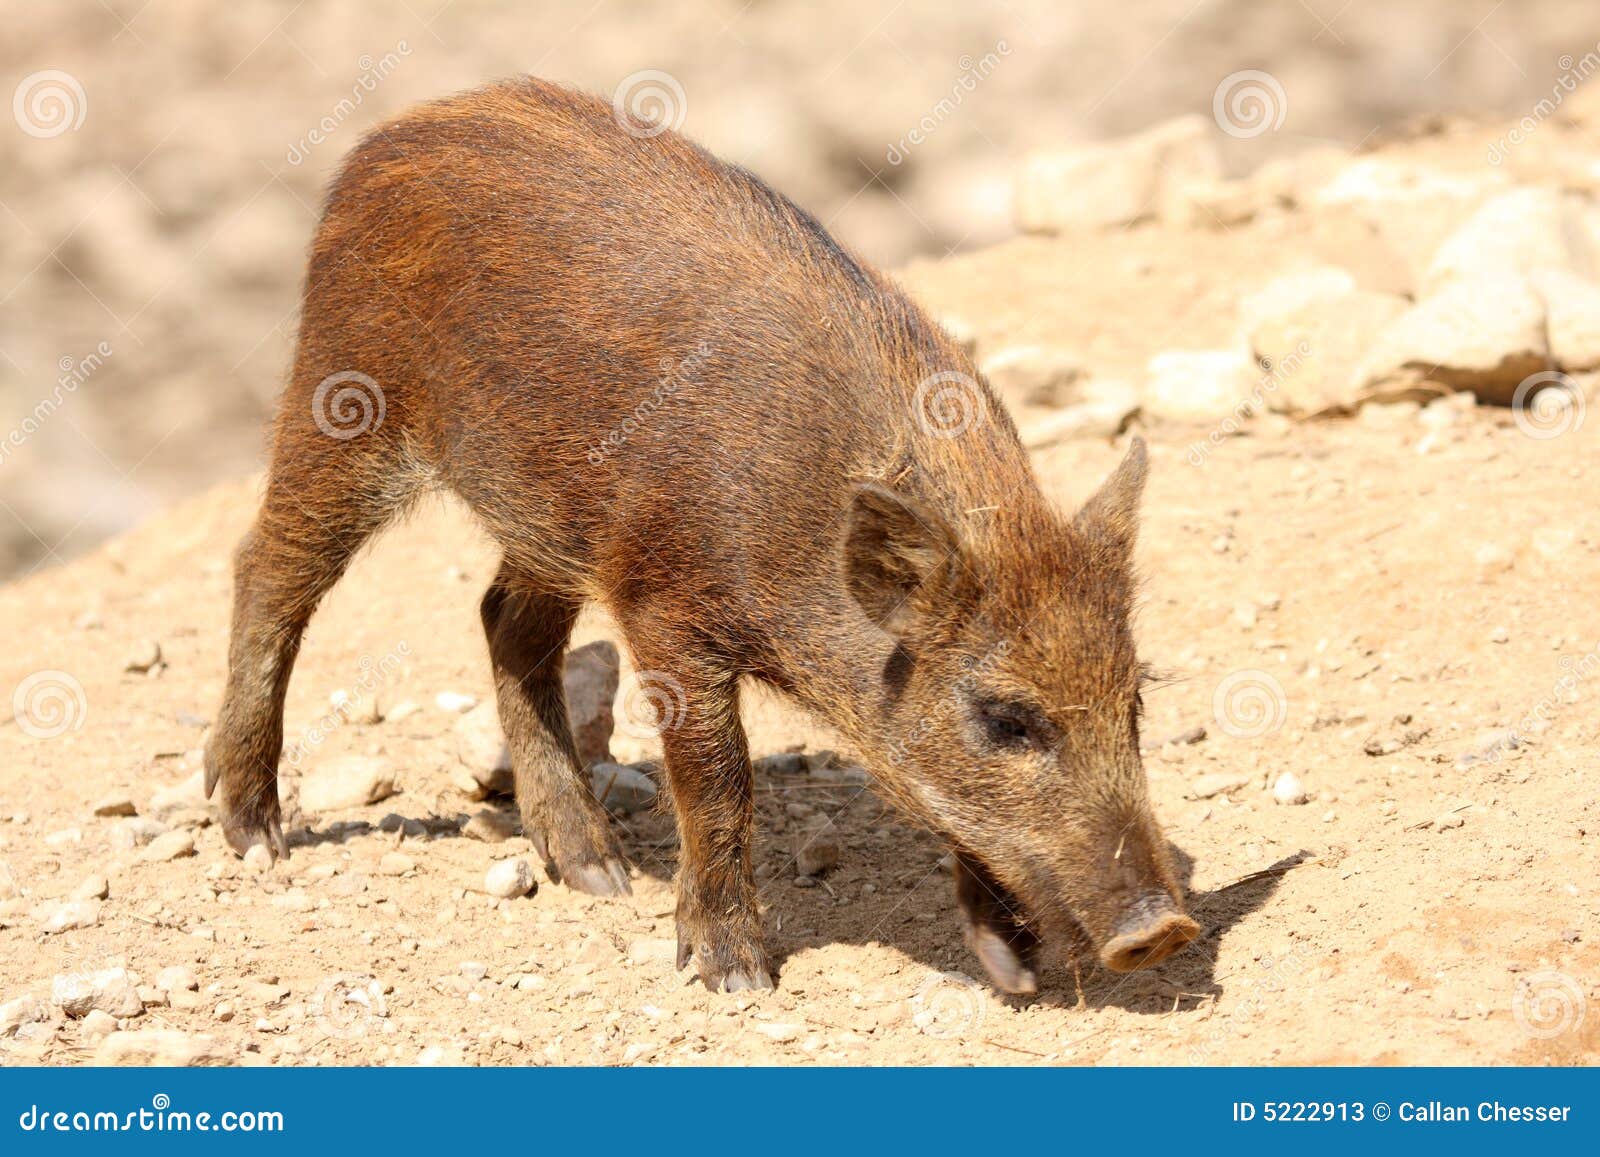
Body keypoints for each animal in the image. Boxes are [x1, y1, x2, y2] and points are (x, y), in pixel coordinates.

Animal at [204, 78, 1199, 994]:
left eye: (1135, 702)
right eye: (1005, 717)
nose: (1163, 930)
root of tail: (406, 125)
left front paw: (1011, 972)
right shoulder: (666, 605)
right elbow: (721, 779)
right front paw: (734, 975)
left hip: (550, 514)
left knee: (504, 621)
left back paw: (597, 874)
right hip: (345, 399)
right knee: (269, 567)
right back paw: (255, 834)